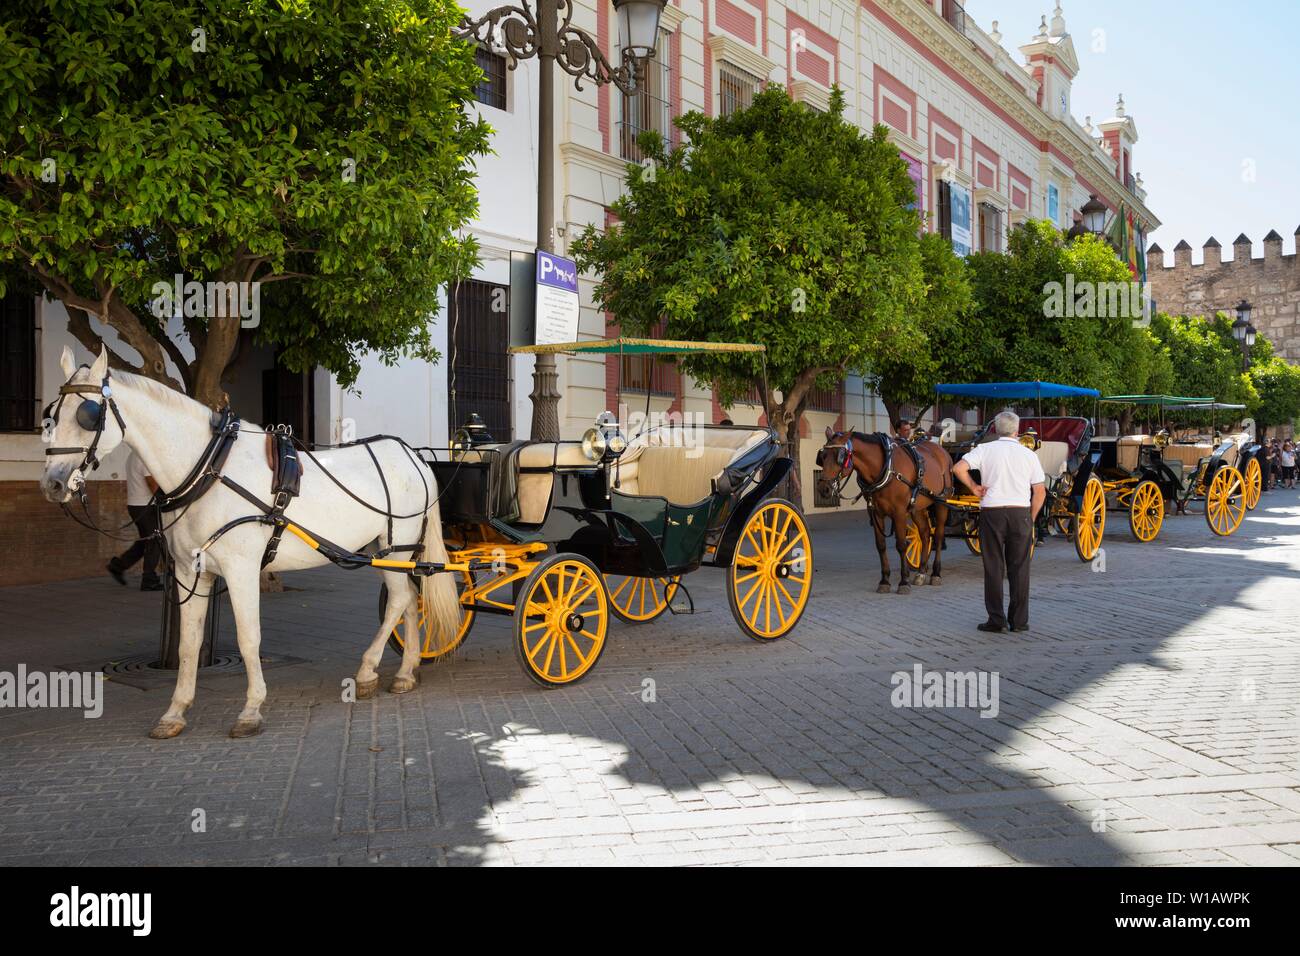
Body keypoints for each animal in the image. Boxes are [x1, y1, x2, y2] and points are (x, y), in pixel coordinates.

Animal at [39, 346, 460, 740]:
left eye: (88, 414)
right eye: (51, 415)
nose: (53, 483)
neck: (208, 468)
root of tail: (414, 456)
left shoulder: (240, 569)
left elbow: (248, 637)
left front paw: (251, 709)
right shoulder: (189, 572)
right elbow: (188, 644)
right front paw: (174, 712)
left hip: (397, 544)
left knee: (401, 599)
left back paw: (371, 669)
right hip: (386, 552)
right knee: (409, 598)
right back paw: (405, 671)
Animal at [815, 427, 953, 594]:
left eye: (839, 456)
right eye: (822, 456)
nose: (824, 489)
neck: (887, 468)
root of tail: (942, 451)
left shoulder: (899, 513)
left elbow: (901, 545)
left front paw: (903, 582)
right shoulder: (875, 513)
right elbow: (880, 545)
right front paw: (885, 581)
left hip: (941, 503)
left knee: (938, 536)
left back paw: (936, 573)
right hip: (917, 508)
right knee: (925, 534)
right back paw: (921, 572)